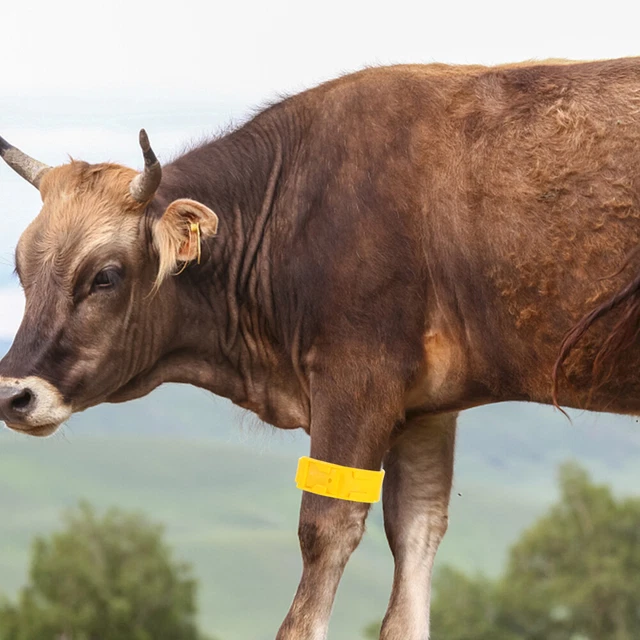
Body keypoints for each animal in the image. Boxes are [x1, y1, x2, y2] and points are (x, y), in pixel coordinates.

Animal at [1, 57, 640, 639]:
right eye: (20, 269)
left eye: (105, 276)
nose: (13, 395)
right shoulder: (426, 409)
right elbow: (415, 539)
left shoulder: (357, 376)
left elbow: (324, 534)